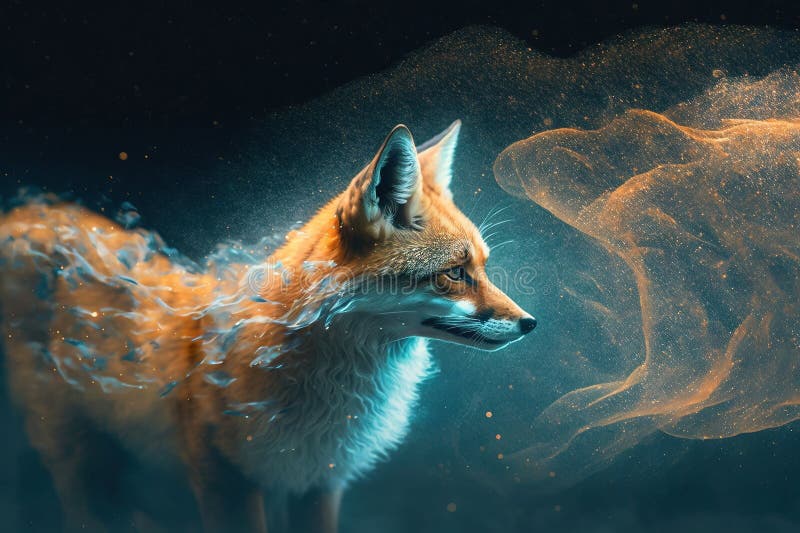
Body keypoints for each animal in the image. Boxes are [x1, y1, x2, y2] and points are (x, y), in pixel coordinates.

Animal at [0, 120, 536, 533]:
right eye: (455, 273)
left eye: (483, 267)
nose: (531, 324)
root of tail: (28, 215)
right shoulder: (227, 477)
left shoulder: (318, 480)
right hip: (74, 455)